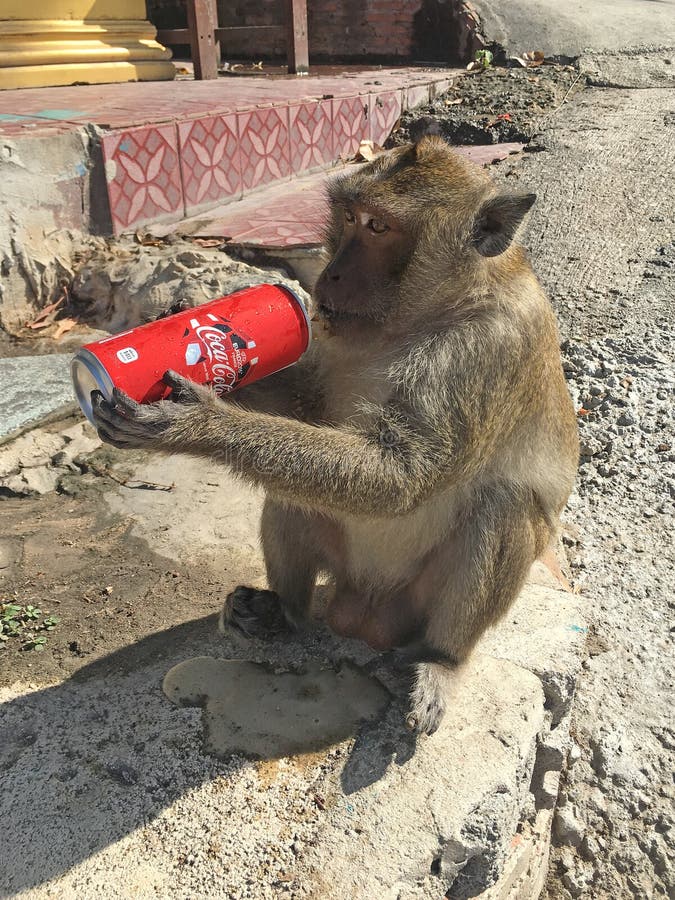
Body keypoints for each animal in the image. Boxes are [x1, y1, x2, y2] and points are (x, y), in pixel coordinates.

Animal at [91, 136, 579, 736]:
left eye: (379, 227)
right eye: (349, 218)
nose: (332, 274)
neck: (429, 312)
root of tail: (361, 617)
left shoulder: (485, 350)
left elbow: (402, 477)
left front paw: (199, 422)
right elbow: (311, 408)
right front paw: (204, 342)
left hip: (416, 603)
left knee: (504, 506)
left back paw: (442, 660)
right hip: (342, 566)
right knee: (291, 490)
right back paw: (285, 613)